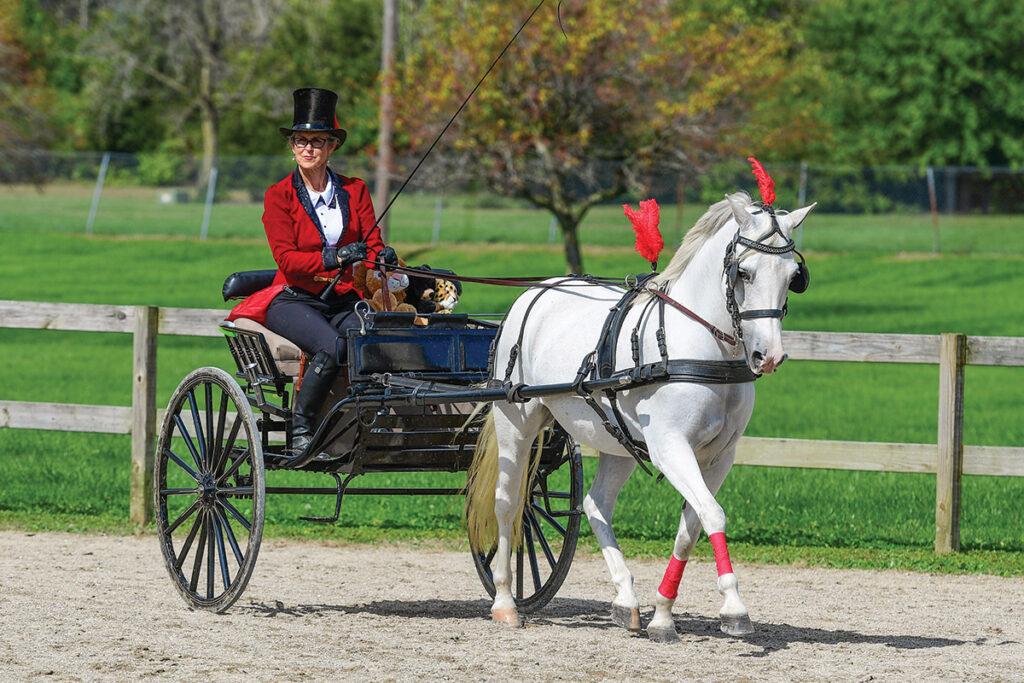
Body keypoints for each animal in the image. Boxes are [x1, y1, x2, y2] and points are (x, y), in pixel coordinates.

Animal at [465, 190, 815, 641]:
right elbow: (713, 514)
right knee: (509, 504)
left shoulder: (720, 456)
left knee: (595, 504)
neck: (699, 348)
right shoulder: (670, 447)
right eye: (745, 272)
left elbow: (691, 527)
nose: (768, 356)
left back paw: (625, 599)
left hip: (617, 443)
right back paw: (506, 601)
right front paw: (734, 606)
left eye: (793, 276)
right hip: (515, 421)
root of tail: (534, 292)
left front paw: (663, 613)